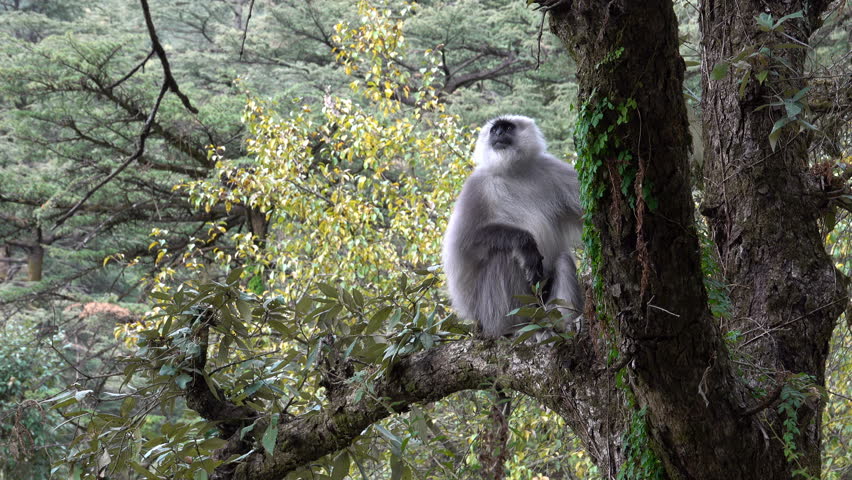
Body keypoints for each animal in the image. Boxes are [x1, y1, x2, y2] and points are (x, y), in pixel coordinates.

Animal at [442, 115, 584, 338]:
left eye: (507, 128)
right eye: (494, 130)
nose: (499, 134)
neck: (512, 171)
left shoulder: (551, 168)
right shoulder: (476, 186)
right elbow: (463, 241)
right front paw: (526, 244)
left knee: (562, 261)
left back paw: (561, 324)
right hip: (488, 313)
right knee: (503, 256)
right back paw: (517, 328)